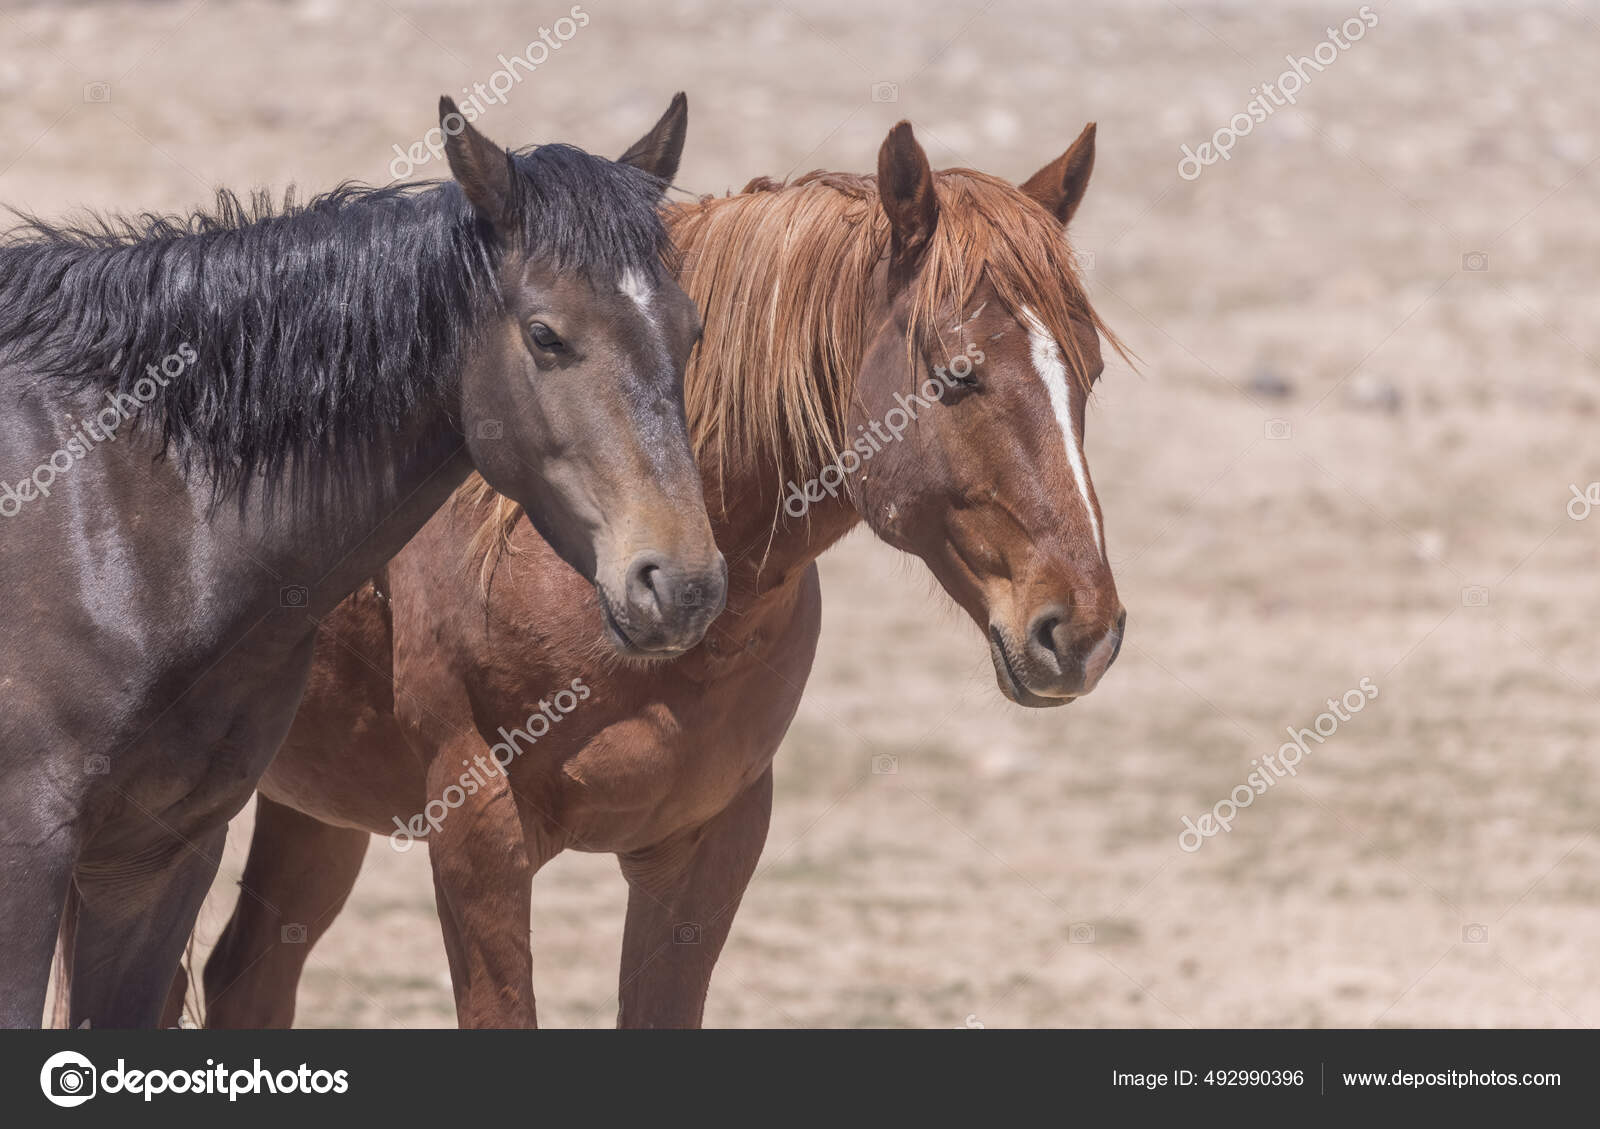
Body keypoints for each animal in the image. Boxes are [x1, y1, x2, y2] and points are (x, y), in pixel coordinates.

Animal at [0, 94, 728, 1029]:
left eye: (691, 327)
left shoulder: (160, 856)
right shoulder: (28, 851)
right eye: (545, 334)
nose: (682, 583)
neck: (111, 512)